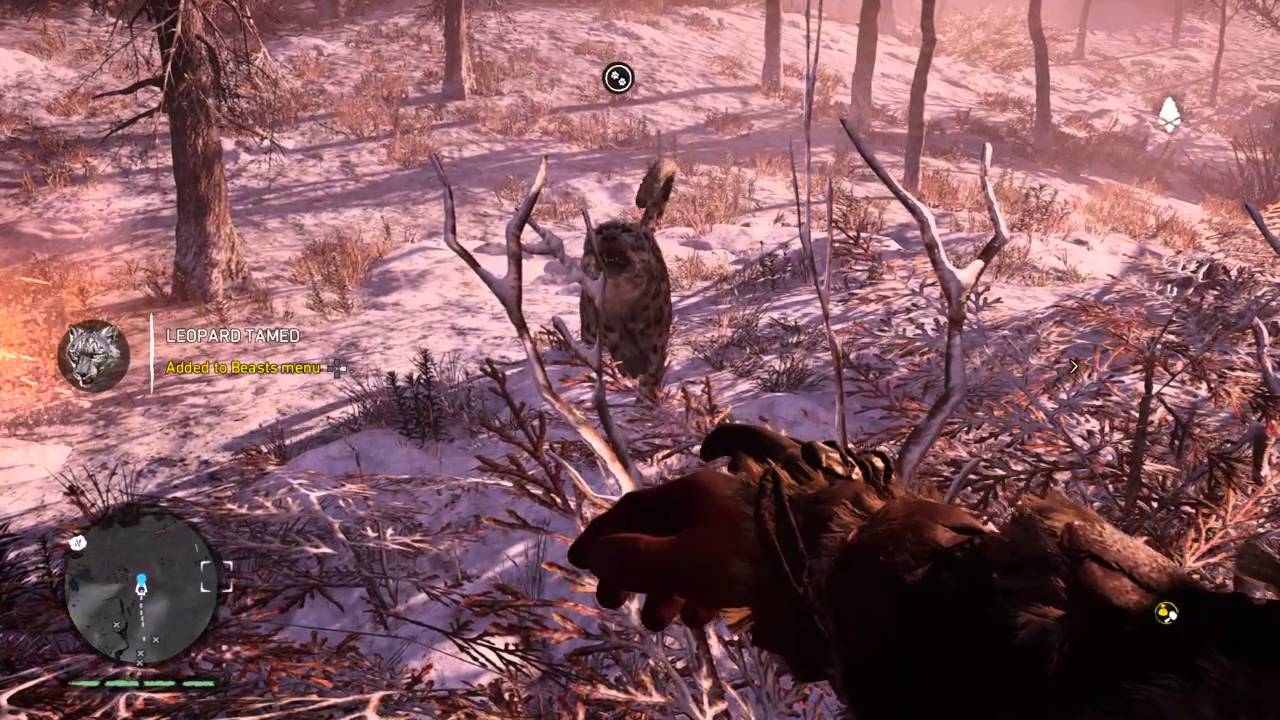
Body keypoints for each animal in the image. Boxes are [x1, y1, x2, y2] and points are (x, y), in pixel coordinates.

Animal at [579, 158, 677, 400]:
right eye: (598, 231)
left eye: (625, 230)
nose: (608, 235)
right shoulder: (604, 322)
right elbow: (615, 341)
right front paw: (630, 364)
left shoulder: (657, 335)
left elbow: (652, 369)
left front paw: (646, 396)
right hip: (587, 328)